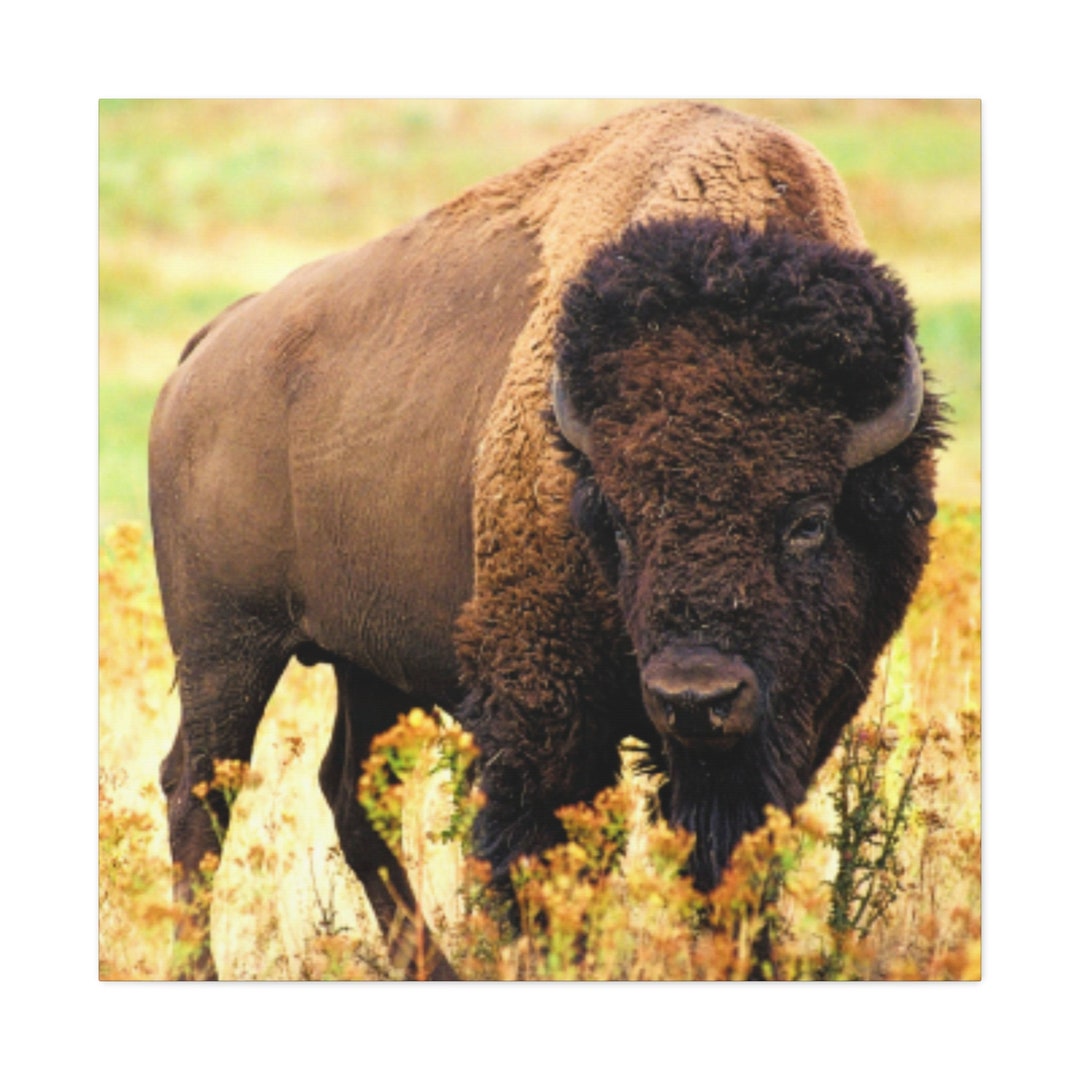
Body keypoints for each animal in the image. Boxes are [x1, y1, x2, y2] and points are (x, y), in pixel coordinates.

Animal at [149, 101, 945, 979]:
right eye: (620, 521)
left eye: (808, 520)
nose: (695, 696)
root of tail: (208, 348)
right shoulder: (545, 706)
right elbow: (546, 849)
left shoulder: (793, 717)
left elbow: (728, 851)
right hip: (226, 647)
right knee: (200, 790)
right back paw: (202, 968)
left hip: (367, 662)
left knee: (348, 792)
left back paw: (436, 969)